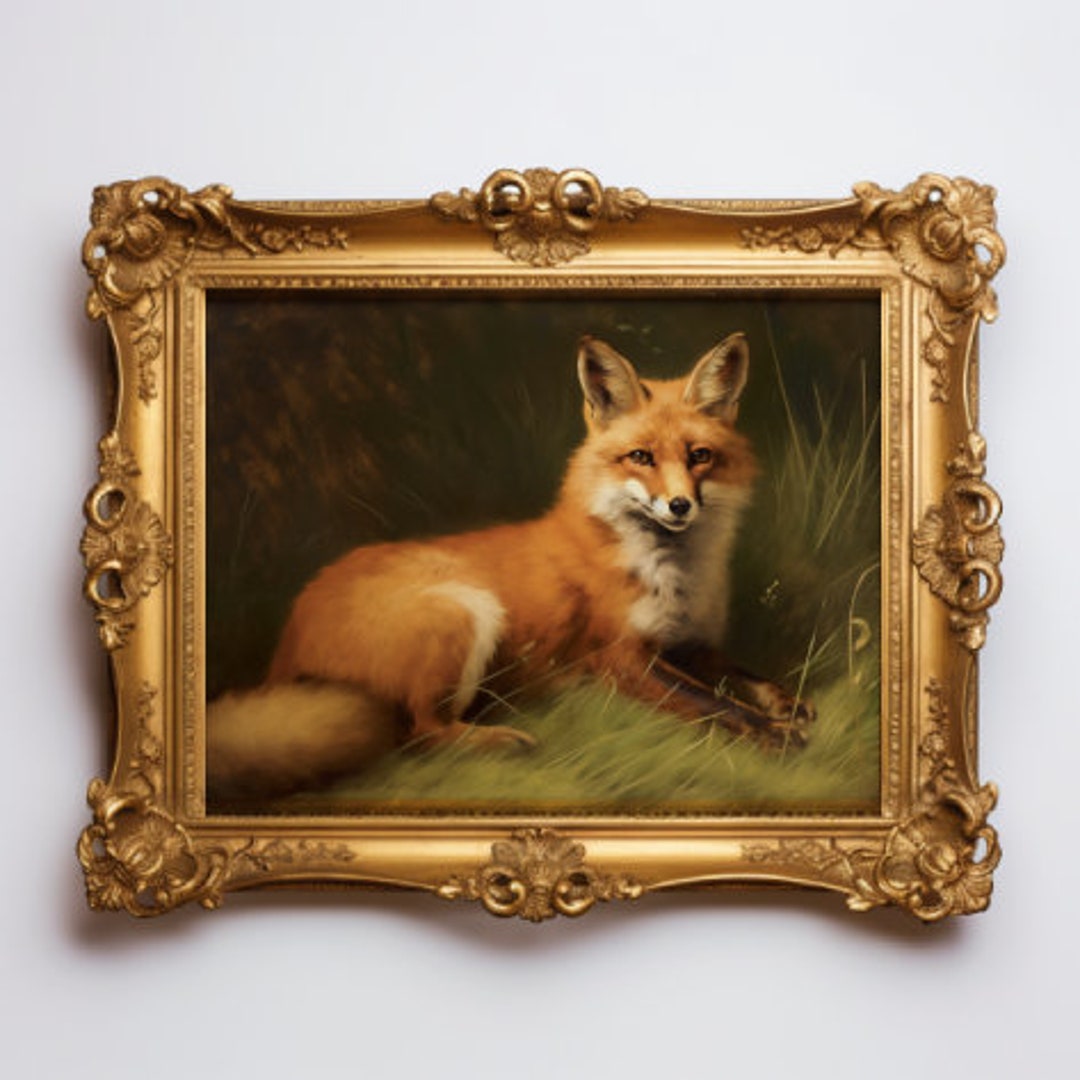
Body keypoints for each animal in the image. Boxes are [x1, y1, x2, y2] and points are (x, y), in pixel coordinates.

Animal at [207, 333, 814, 802]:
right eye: (641, 457)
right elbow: (711, 702)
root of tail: (287, 642)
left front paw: (787, 705)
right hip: (466, 609)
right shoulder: (619, 657)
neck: (673, 575)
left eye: (699, 456)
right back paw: (498, 742)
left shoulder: (687, 642)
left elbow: (741, 675)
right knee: (417, 735)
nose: (680, 506)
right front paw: (773, 734)